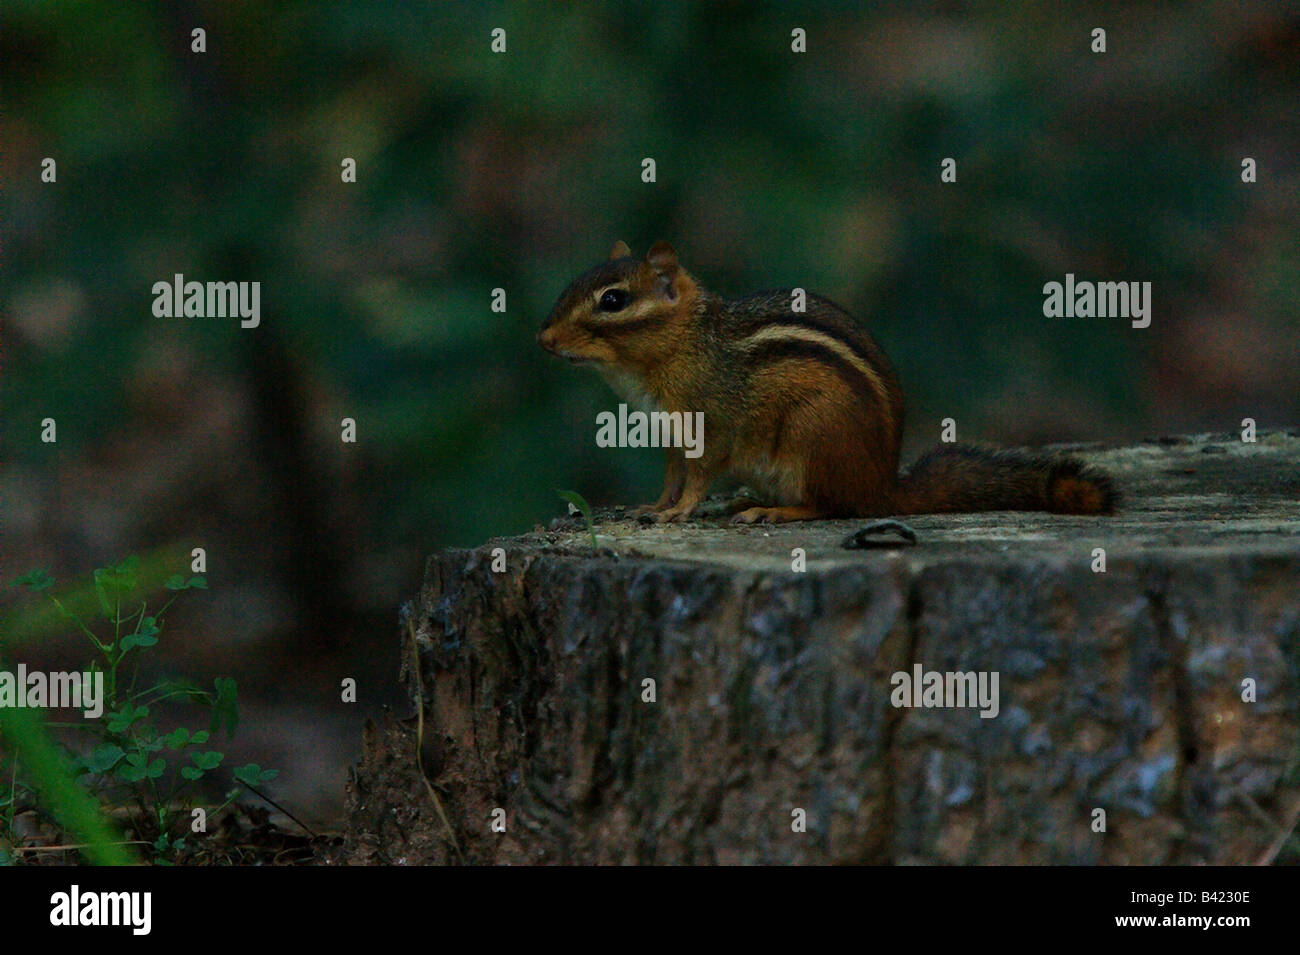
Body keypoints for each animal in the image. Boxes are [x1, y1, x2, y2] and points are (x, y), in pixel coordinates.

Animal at [538, 241, 1117, 525]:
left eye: (613, 300)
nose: (543, 339)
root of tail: (882, 486)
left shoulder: (711, 424)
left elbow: (699, 475)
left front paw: (679, 513)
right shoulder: (670, 434)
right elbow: (672, 477)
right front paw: (654, 507)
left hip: (813, 435)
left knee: (831, 506)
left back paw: (772, 510)